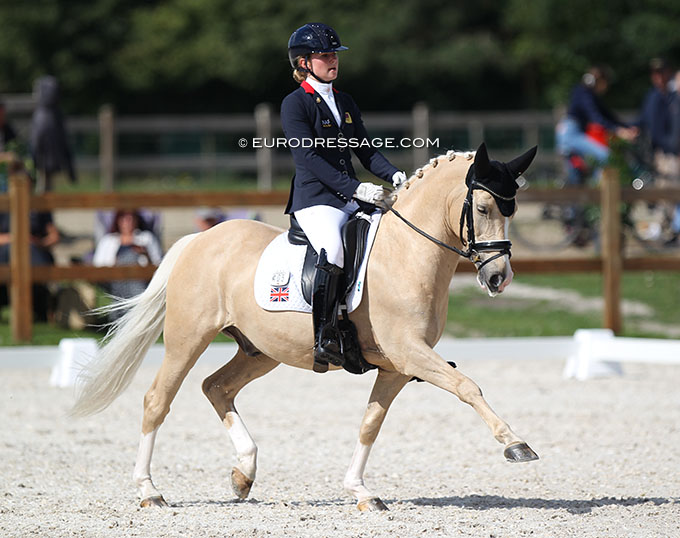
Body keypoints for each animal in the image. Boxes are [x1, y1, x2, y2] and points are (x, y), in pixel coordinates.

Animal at [72, 143, 539, 512]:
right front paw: (515, 444)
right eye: (483, 209)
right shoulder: (411, 353)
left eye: (512, 210)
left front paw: (361, 492)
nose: (499, 278)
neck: (406, 253)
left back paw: (243, 473)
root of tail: (199, 239)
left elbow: (371, 423)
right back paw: (150, 491)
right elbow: (467, 387)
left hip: (260, 350)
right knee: (158, 400)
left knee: (216, 387)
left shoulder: (399, 365)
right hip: (188, 339)